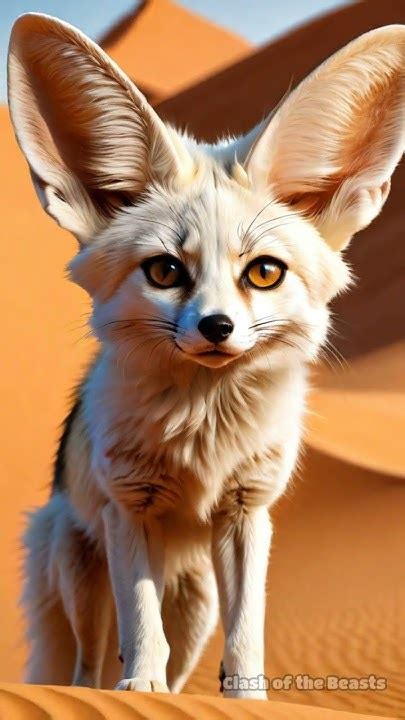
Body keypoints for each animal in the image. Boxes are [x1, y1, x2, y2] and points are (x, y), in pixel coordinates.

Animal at [7, 14, 404, 699]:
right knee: (88, 658)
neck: (203, 428)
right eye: (165, 271)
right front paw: (139, 689)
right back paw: (99, 690)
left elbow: (246, 635)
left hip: (196, 601)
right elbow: (141, 625)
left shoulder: (247, 510)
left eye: (264, 272)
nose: (217, 327)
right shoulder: (130, 506)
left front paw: (250, 700)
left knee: (181, 655)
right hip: (81, 570)